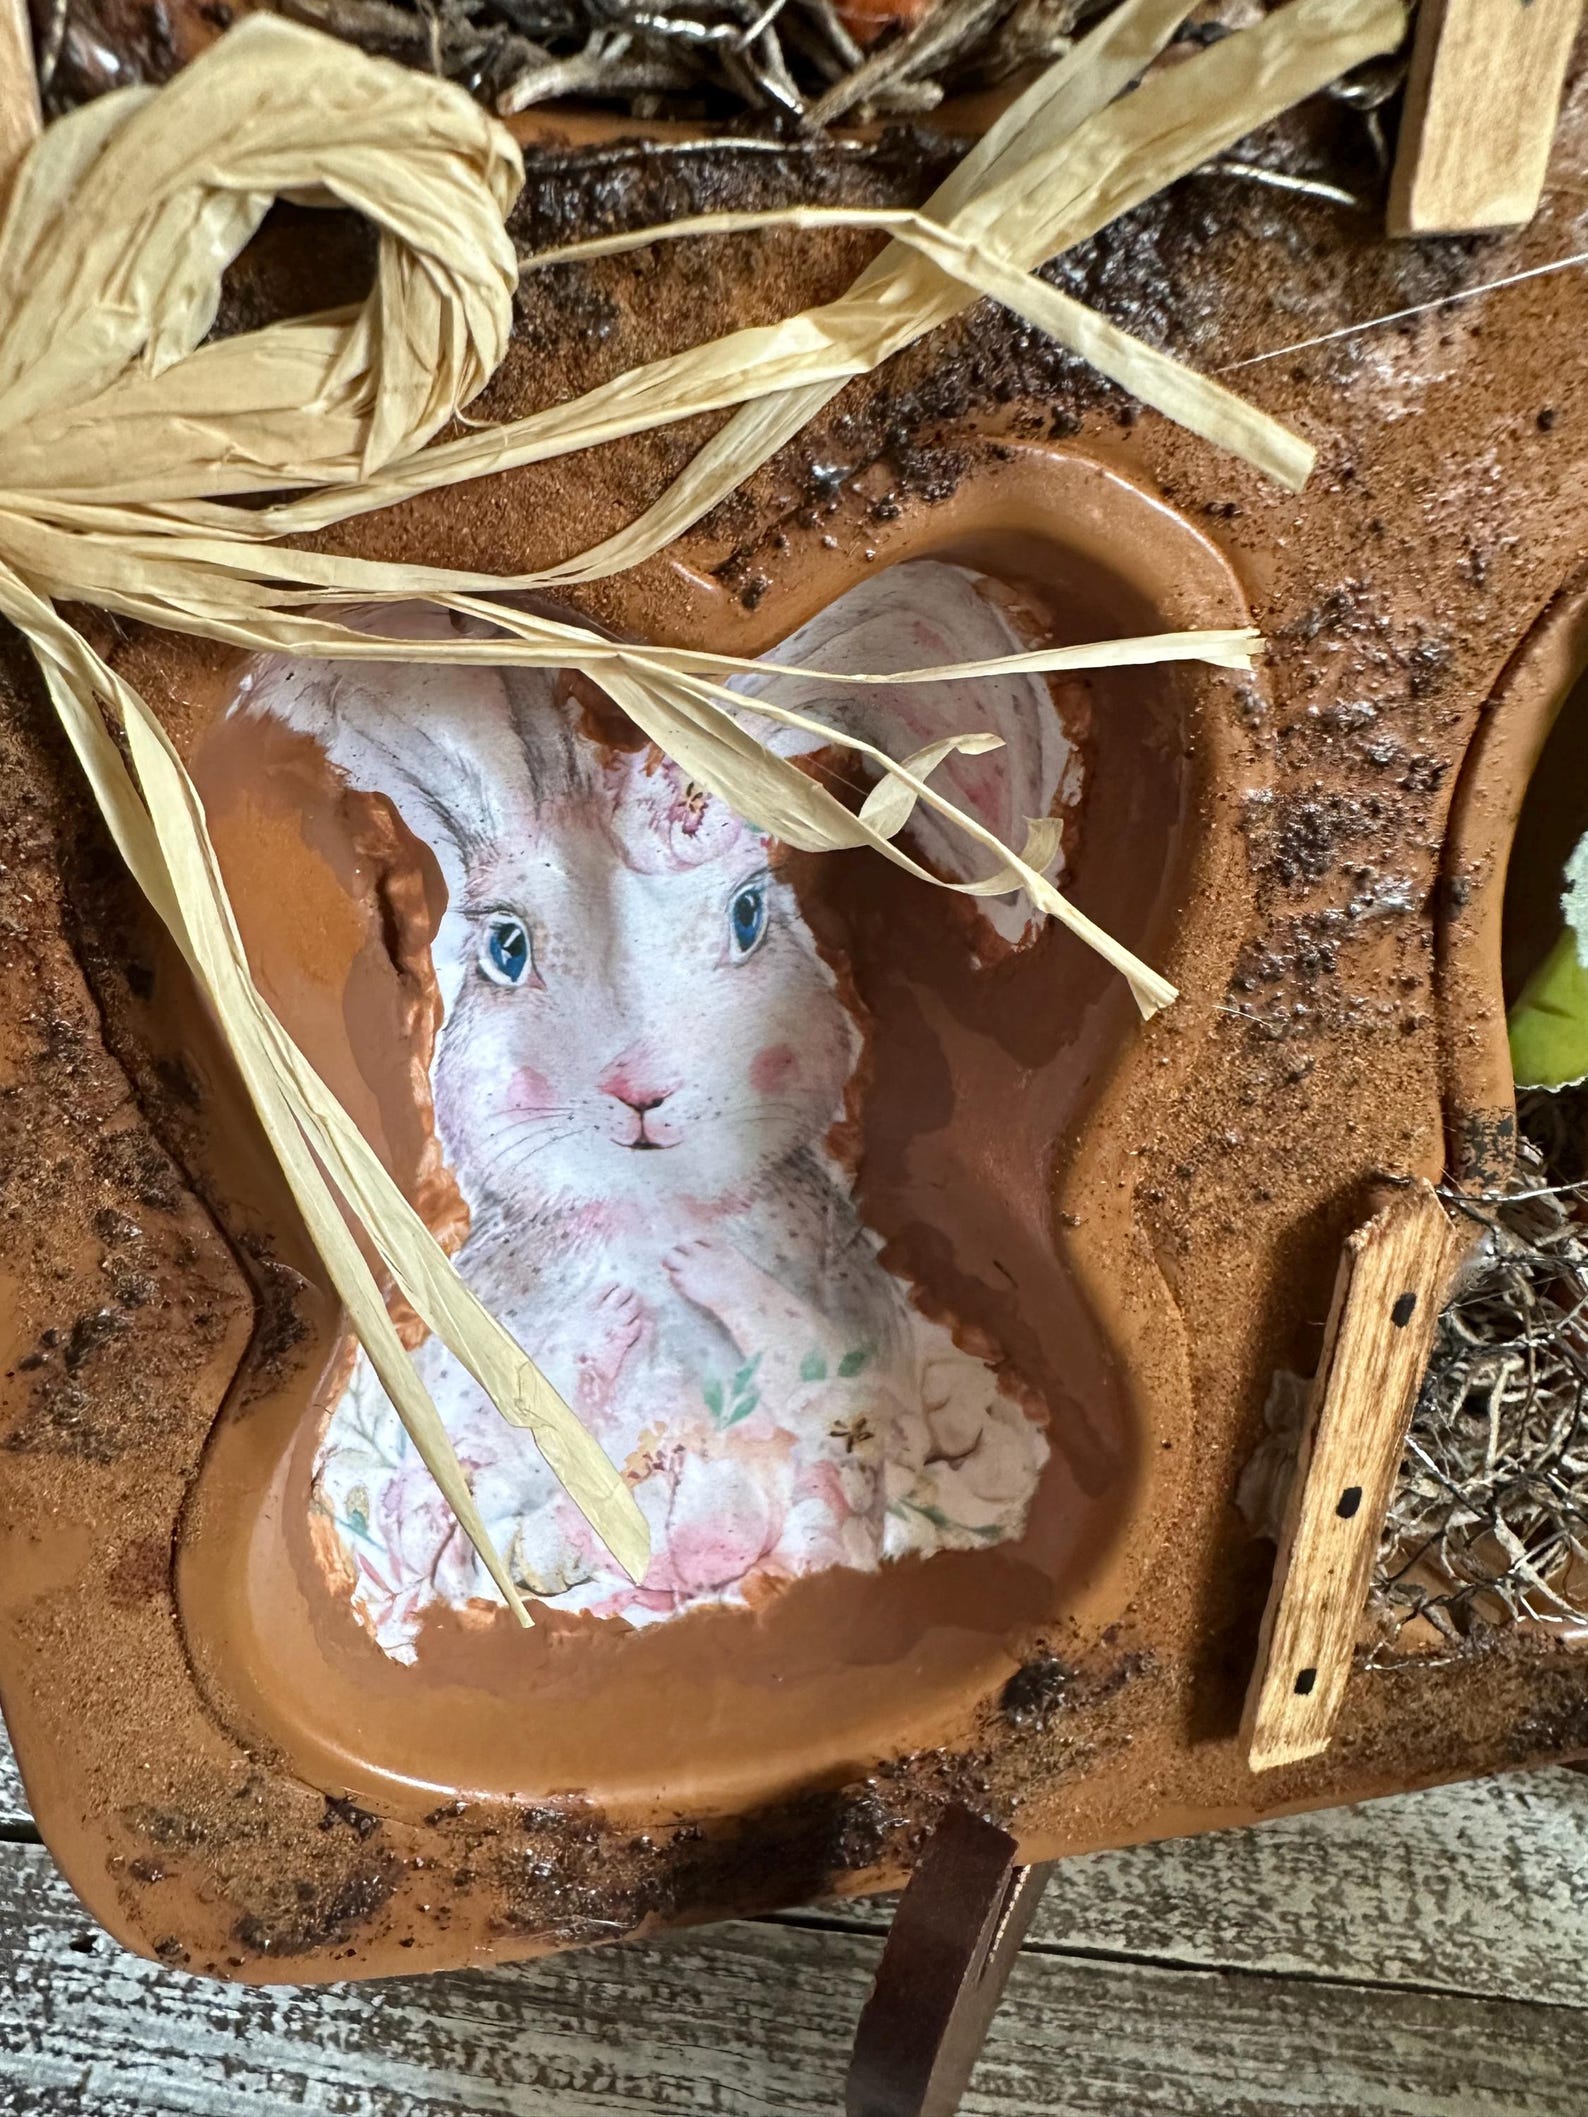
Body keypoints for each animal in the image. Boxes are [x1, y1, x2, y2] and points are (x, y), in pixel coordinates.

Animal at [236, 562, 1066, 1658]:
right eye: (506, 948)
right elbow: (496, 1446)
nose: (639, 1089)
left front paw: (697, 1274)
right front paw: (615, 1323)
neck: (647, 1208)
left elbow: (811, 1362)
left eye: (752, 915)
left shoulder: (854, 1348)